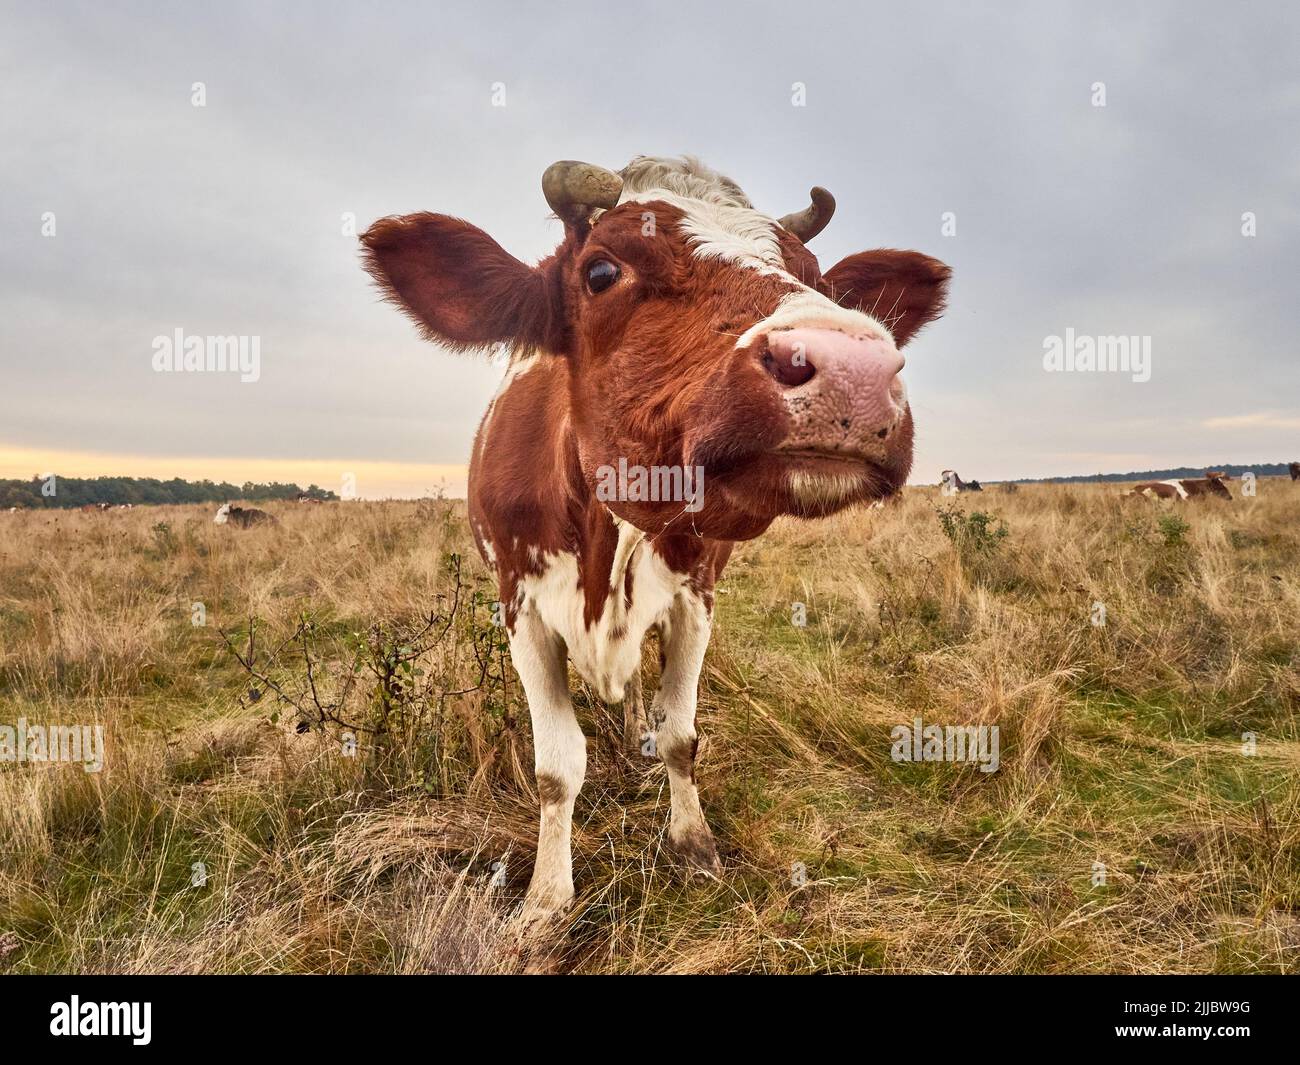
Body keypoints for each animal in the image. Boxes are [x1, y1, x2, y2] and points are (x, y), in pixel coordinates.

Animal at [361, 155, 950, 928]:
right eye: (601, 271)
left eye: (818, 279)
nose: (855, 368)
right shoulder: (520, 608)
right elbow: (557, 766)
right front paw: (546, 897)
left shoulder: (696, 597)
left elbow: (681, 734)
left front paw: (694, 845)